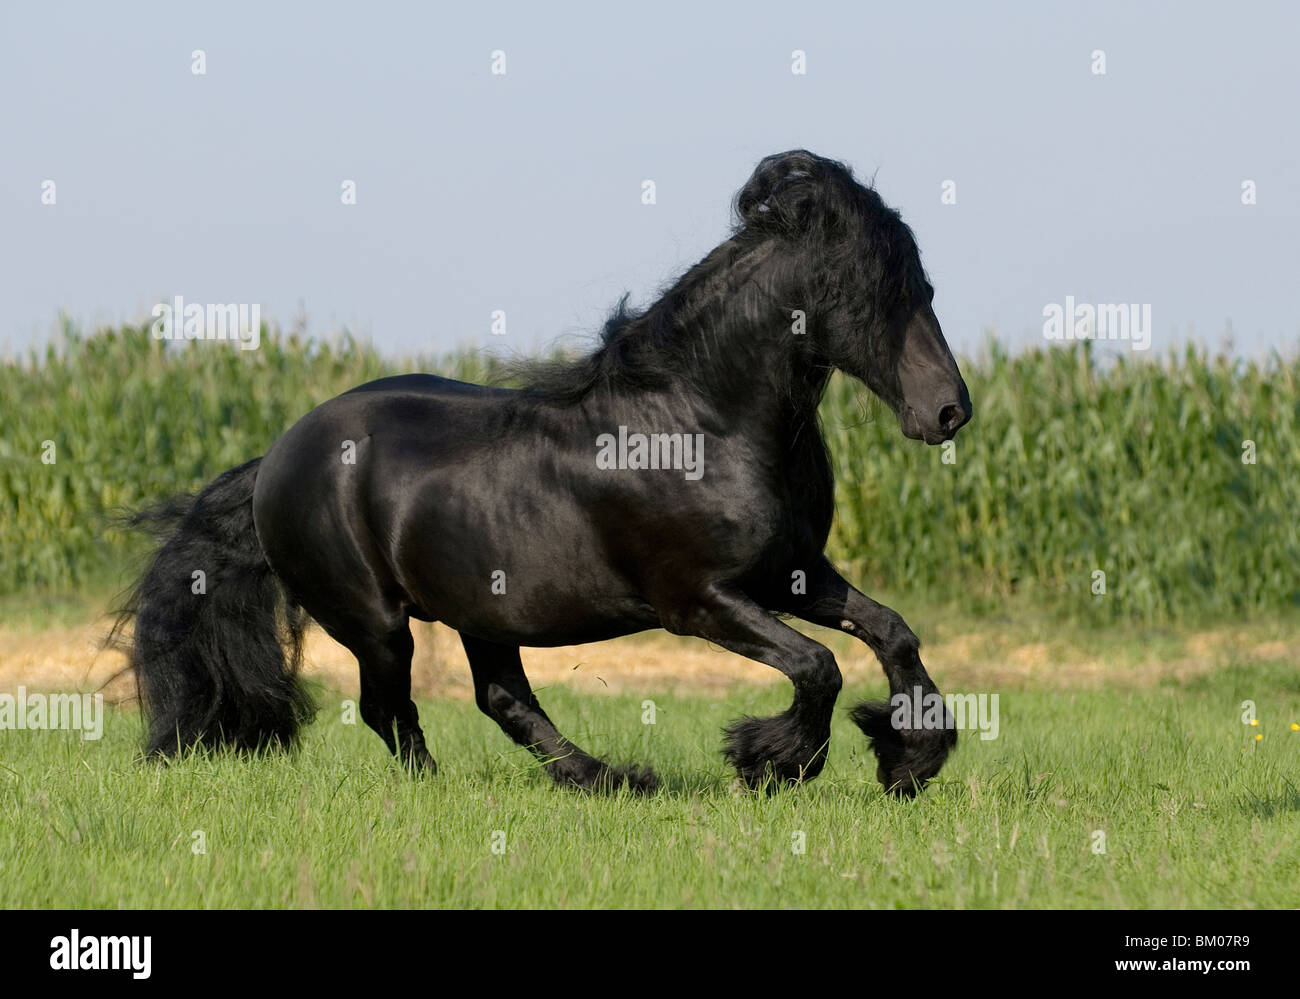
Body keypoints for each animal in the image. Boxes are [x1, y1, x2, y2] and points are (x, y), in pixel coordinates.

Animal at [115, 149, 972, 797]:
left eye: (925, 285)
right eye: (874, 292)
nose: (949, 412)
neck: (701, 422)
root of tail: (277, 457)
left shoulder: (790, 572)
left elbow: (892, 633)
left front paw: (908, 759)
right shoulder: (698, 600)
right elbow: (817, 665)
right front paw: (770, 760)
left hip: (480, 612)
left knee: (503, 698)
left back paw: (613, 779)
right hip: (377, 621)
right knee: (391, 707)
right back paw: (444, 788)